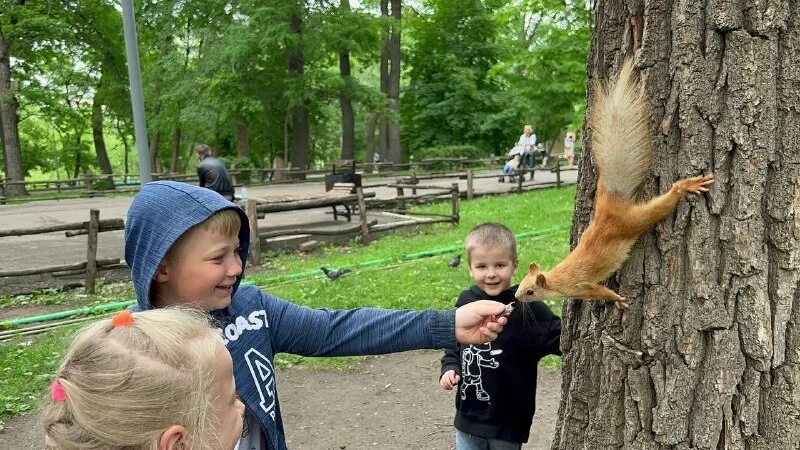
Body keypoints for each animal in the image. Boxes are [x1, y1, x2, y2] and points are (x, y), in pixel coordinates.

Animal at [514, 60, 713, 309]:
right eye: (521, 283)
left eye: (530, 291)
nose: (515, 298)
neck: (556, 278)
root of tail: (612, 203)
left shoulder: (581, 287)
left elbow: (600, 291)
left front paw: (617, 299)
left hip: (634, 220)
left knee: (664, 203)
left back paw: (686, 186)